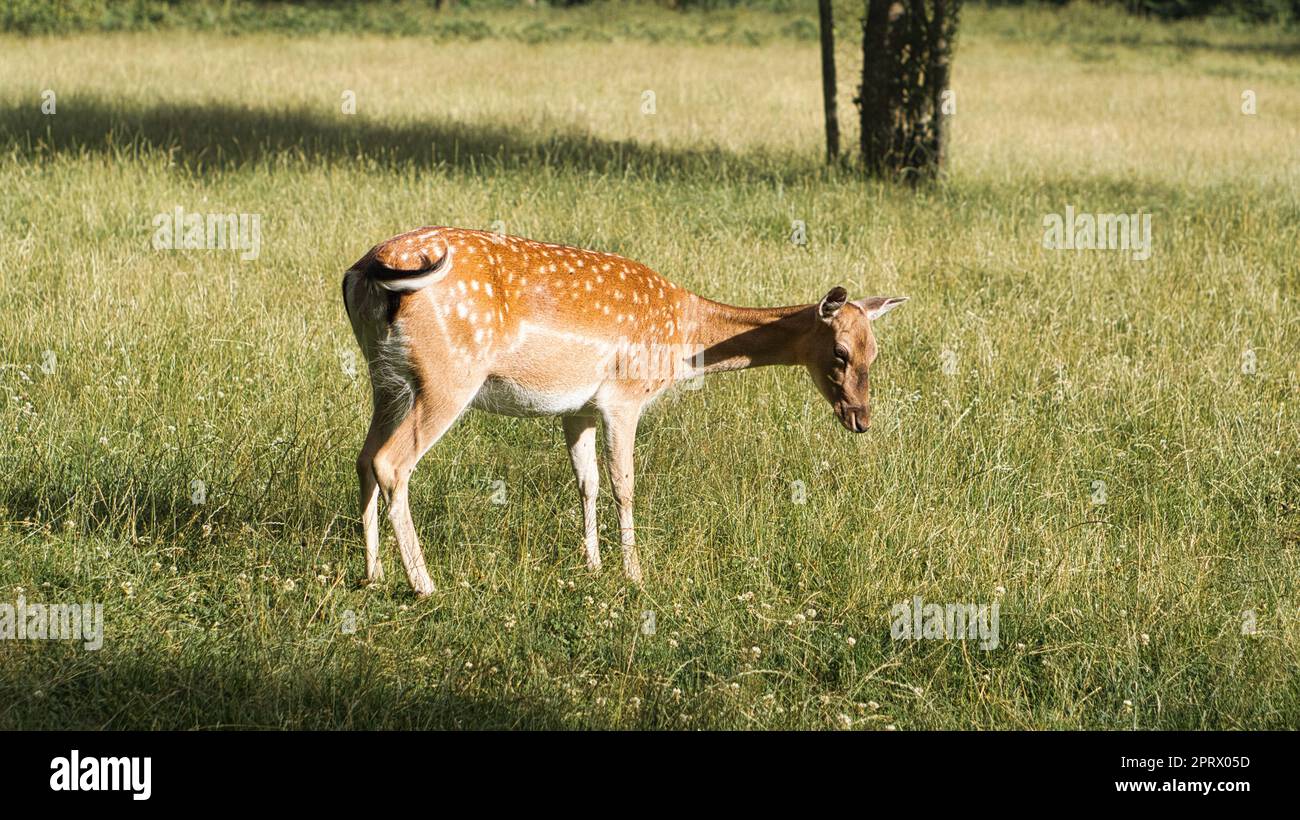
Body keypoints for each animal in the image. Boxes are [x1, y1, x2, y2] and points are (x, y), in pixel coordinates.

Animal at [343, 227, 906, 596]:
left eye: (876, 352)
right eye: (841, 353)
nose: (861, 418)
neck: (683, 337)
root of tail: (366, 269)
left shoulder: (578, 407)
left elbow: (586, 481)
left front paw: (591, 565)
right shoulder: (624, 397)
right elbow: (624, 483)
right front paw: (634, 573)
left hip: (385, 376)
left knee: (364, 457)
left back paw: (373, 574)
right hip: (448, 375)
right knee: (392, 462)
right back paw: (424, 583)